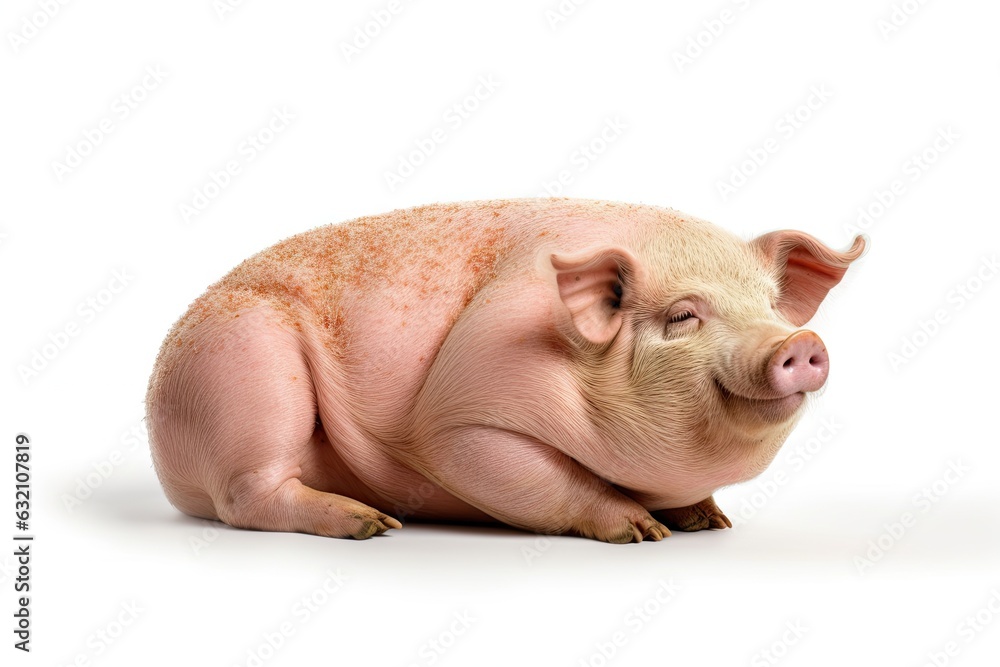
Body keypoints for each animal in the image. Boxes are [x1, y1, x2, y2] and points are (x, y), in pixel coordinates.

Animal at [146, 198, 865, 543]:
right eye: (684, 315)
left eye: (769, 304)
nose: (799, 341)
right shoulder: (469, 408)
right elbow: (498, 459)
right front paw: (644, 531)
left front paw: (711, 522)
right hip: (245, 363)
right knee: (245, 494)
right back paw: (372, 524)